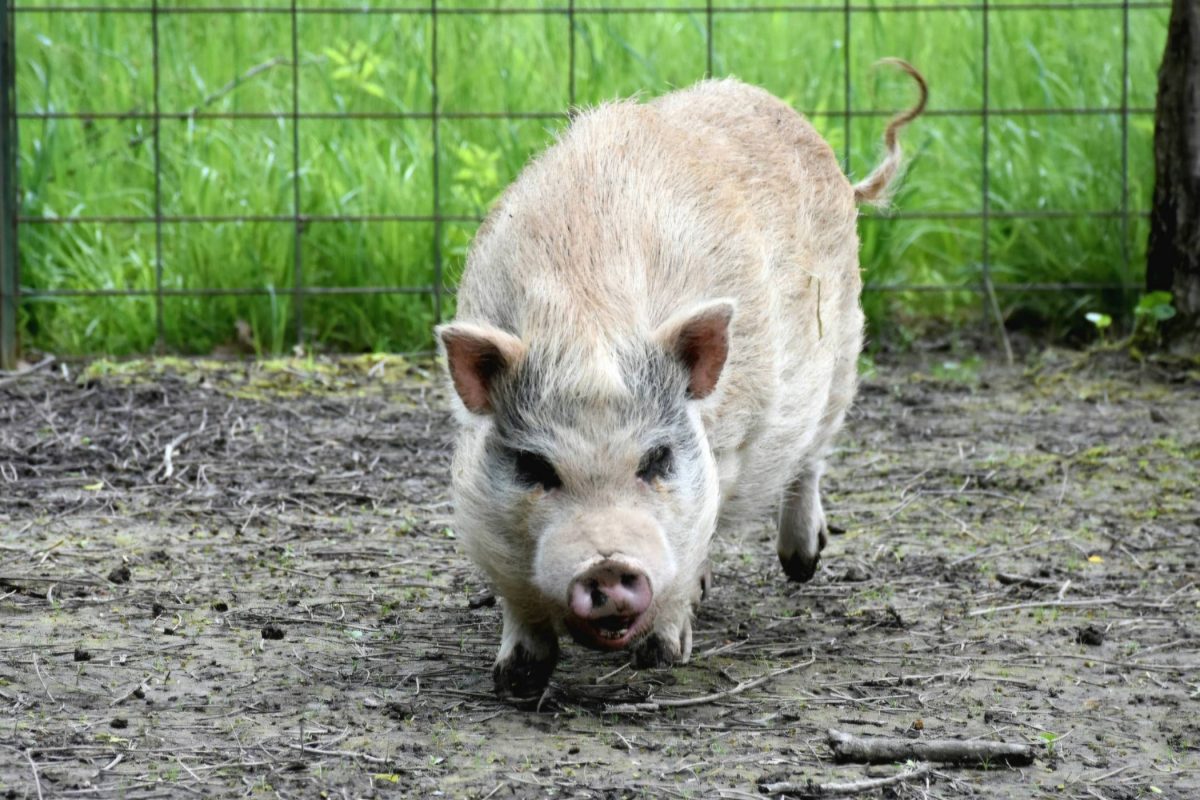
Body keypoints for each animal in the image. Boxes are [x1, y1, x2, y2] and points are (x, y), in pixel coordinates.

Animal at [437, 61, 927, 696]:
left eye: (657, 459)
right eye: (533, 467)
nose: (609, 565)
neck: (588, 327)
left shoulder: (721, 454)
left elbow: (694, 542)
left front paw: (665, 656)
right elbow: (515, 595)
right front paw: (515, 679)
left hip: (843, 349)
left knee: (811, 457)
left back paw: (802, 563)